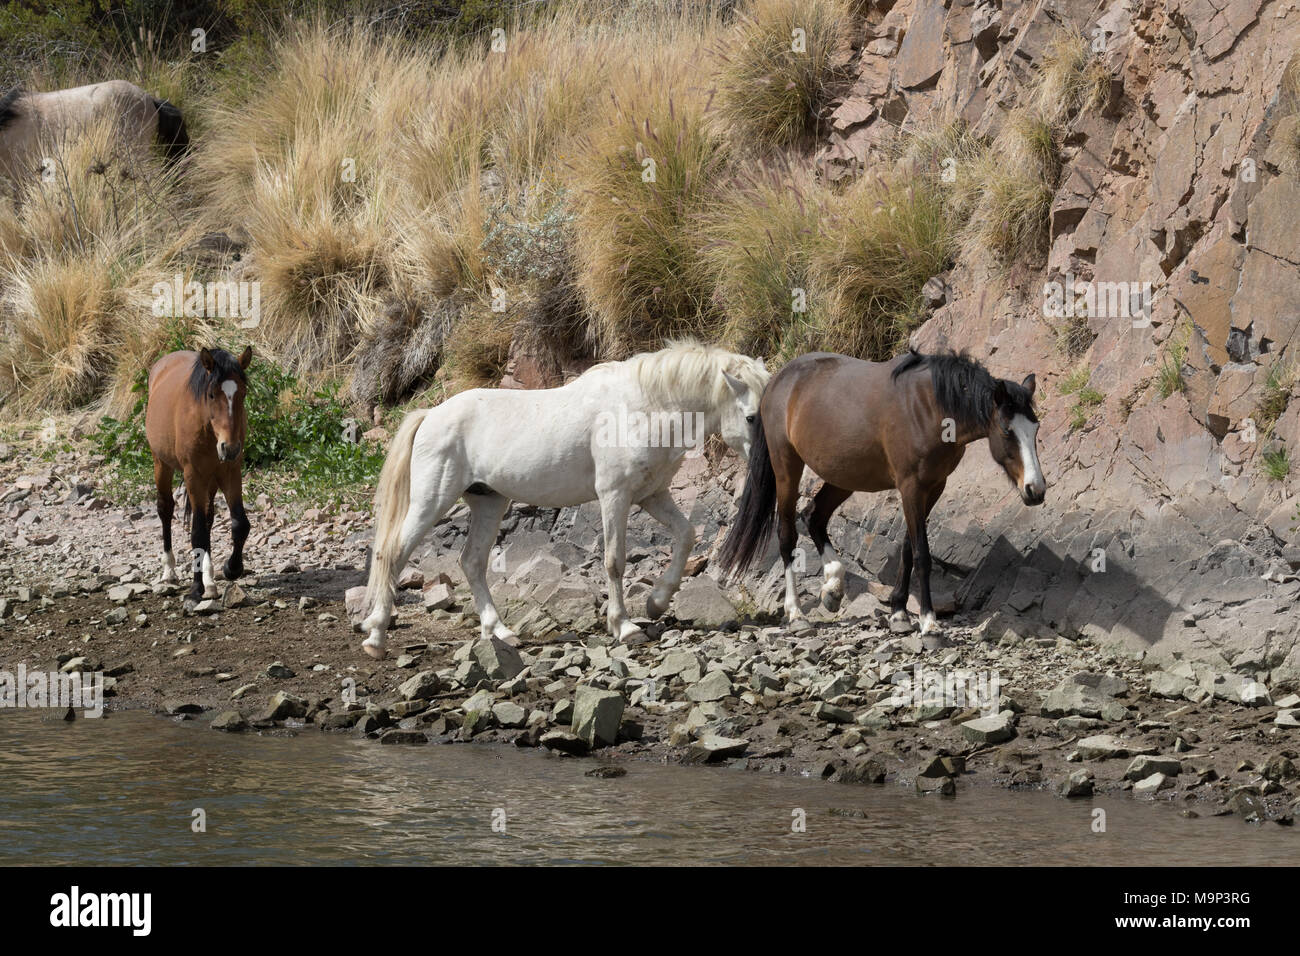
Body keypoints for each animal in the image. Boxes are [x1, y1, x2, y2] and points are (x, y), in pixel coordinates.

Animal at [145, 347, 253, 604]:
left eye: (242, 394)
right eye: (212, 395)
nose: (229, 448)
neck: (208, 429)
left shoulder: (230, 472)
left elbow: (239, 524)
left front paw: (231, 569)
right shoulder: (193, 475)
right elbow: (198, 532)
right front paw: (195, 590)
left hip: (211, 479)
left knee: (208, 516)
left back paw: (210, 581)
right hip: (161, 464)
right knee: (166, 509)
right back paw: (170, 571)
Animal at [360, 340, 770, 659]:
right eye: (751, 417)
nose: (766, 467)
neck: (645, 406)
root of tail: (430, 414)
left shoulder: (652, 496)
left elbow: (686, 536)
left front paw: (656, 602)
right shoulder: (615, 496)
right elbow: (615, 561)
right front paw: (625, 627)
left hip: (489, 503)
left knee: (472, 562)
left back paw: (501, 631)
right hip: (432, 500)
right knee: (392, 554)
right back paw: (376, 637)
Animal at [718, 349, 1045, 637]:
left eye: (1035, 428)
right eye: (1007, 431)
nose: (1036, 489)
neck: (931, 408)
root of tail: (778, 380)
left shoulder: (933, 487)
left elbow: (908, 548)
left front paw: (899, 613)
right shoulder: (910, 486)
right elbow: (922, 554)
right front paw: (929, 622)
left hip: (844, 475)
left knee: (815, 517)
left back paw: (833, 587)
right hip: (787, 469)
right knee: (787, 535)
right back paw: (797, 613)